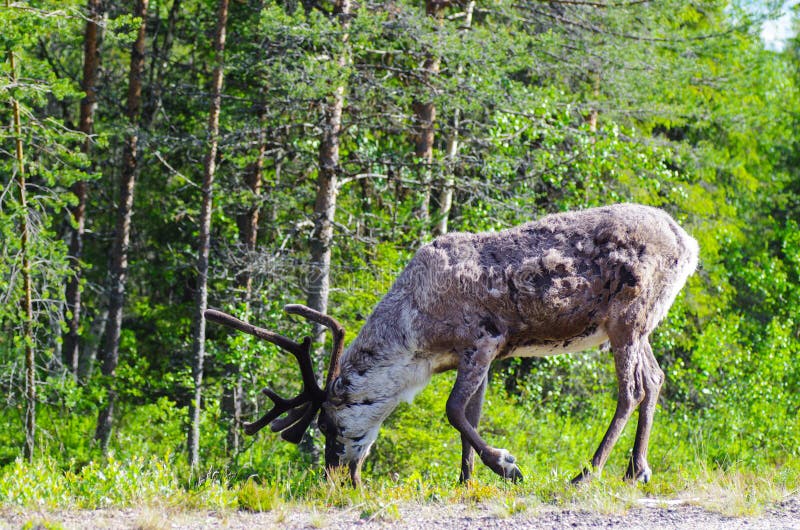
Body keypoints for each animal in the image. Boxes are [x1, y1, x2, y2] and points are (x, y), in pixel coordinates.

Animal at [206, 203, 699, 486]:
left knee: (631, 390)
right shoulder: (485, 356)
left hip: (627, 319)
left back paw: (587, 473)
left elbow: (453, 411)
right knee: (655, 380)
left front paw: (506, 465)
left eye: (327, 425)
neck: (414, 333)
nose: (337, 475)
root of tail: (687, 241)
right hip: (640, 325)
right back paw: (636, 470)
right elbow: (471, 415)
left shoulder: (482, 340)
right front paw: (465, 480)